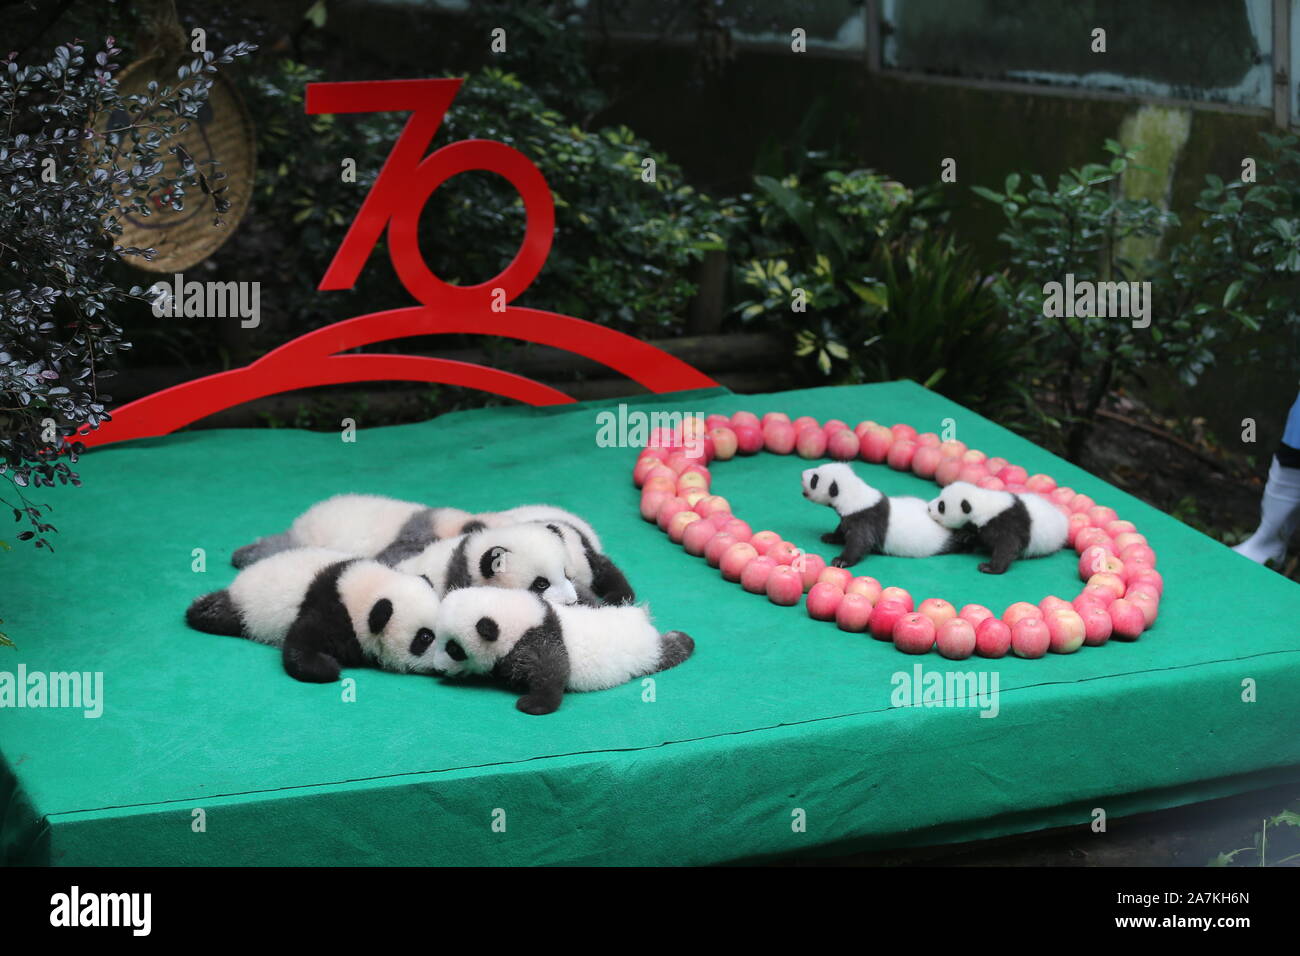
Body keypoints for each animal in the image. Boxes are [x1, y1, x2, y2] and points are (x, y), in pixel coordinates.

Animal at [186, 547, 442, 682]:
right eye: (425, 637)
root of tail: (239, 581)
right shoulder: (333, 610)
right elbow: (301, 641)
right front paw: (328, 667)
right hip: (246, 608)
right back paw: (201, 610)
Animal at [230, 494, 473, 569]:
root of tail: (303, 521)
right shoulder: (416, 532)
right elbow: (395, 555)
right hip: (310, 536)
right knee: (278, 546)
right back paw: (244, 555)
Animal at [430, 587, 695, 715]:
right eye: (435, 638)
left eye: (454, 649)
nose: (437, 668)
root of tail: (641, 619)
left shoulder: (536, 639)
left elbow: (553, 669)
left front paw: (532, 704)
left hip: (646, 654)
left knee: (667, 653)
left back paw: (683, 641)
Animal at [801, 462, 965, 568]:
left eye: (815, 478)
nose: (802, 473)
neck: (855, 495)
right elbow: (842, 528)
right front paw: (830, 537)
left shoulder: (865, 518)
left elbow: (861, 541)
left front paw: (841, 560)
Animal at [928, 480, 1069, 574]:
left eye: (941, 506)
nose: (929, 508)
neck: (983, 504)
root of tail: (1063, 520)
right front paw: (964, 535)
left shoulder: (1006, 524)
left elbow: (1007, 547)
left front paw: (989, 568)